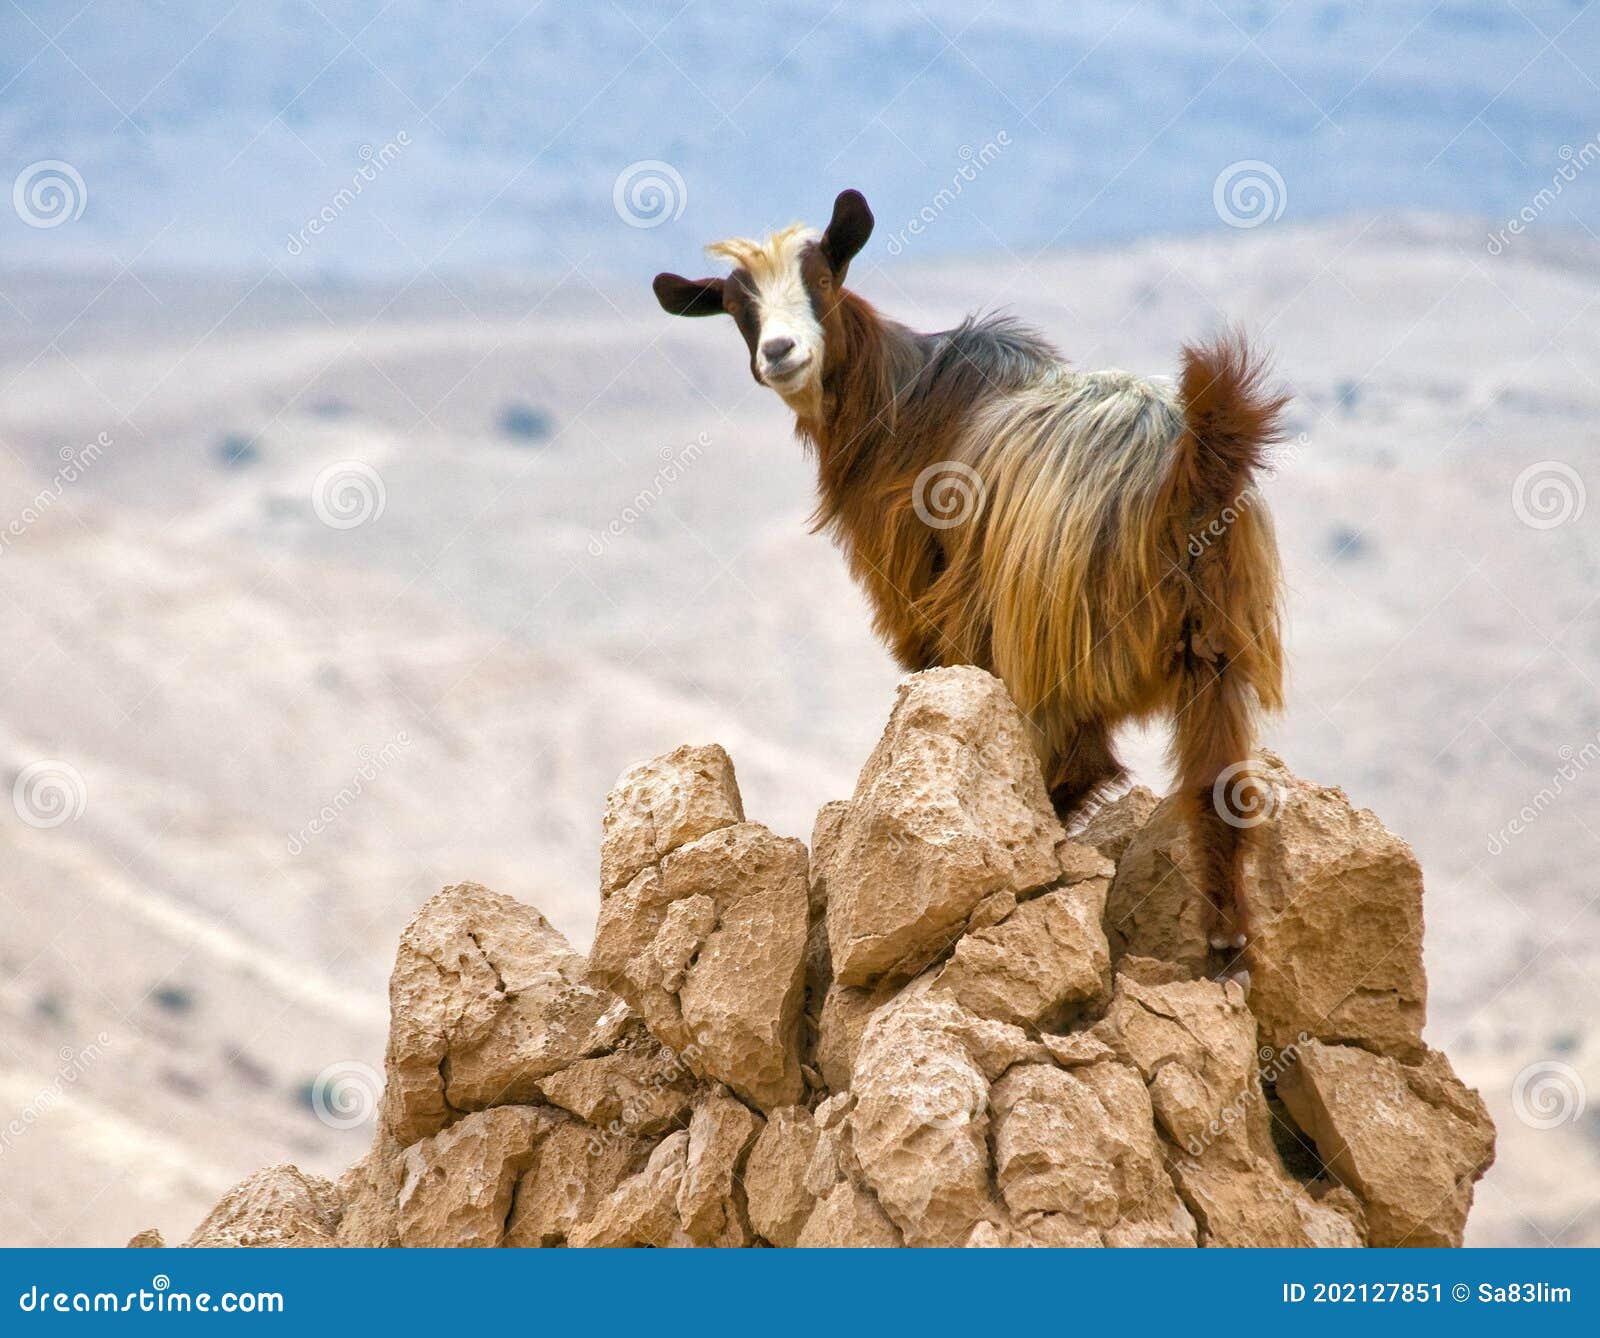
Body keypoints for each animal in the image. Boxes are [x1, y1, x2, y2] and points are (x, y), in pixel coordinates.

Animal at [653, 189, 1286, 950]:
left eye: (823, 278)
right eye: (735, 306)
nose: (780, 352)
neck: (907, 399)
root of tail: (1193, 465)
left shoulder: (940, 600)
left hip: (1055, 634)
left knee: (1080, 757)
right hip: (1218, 650)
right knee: (1219, 789)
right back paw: (1225, 942)